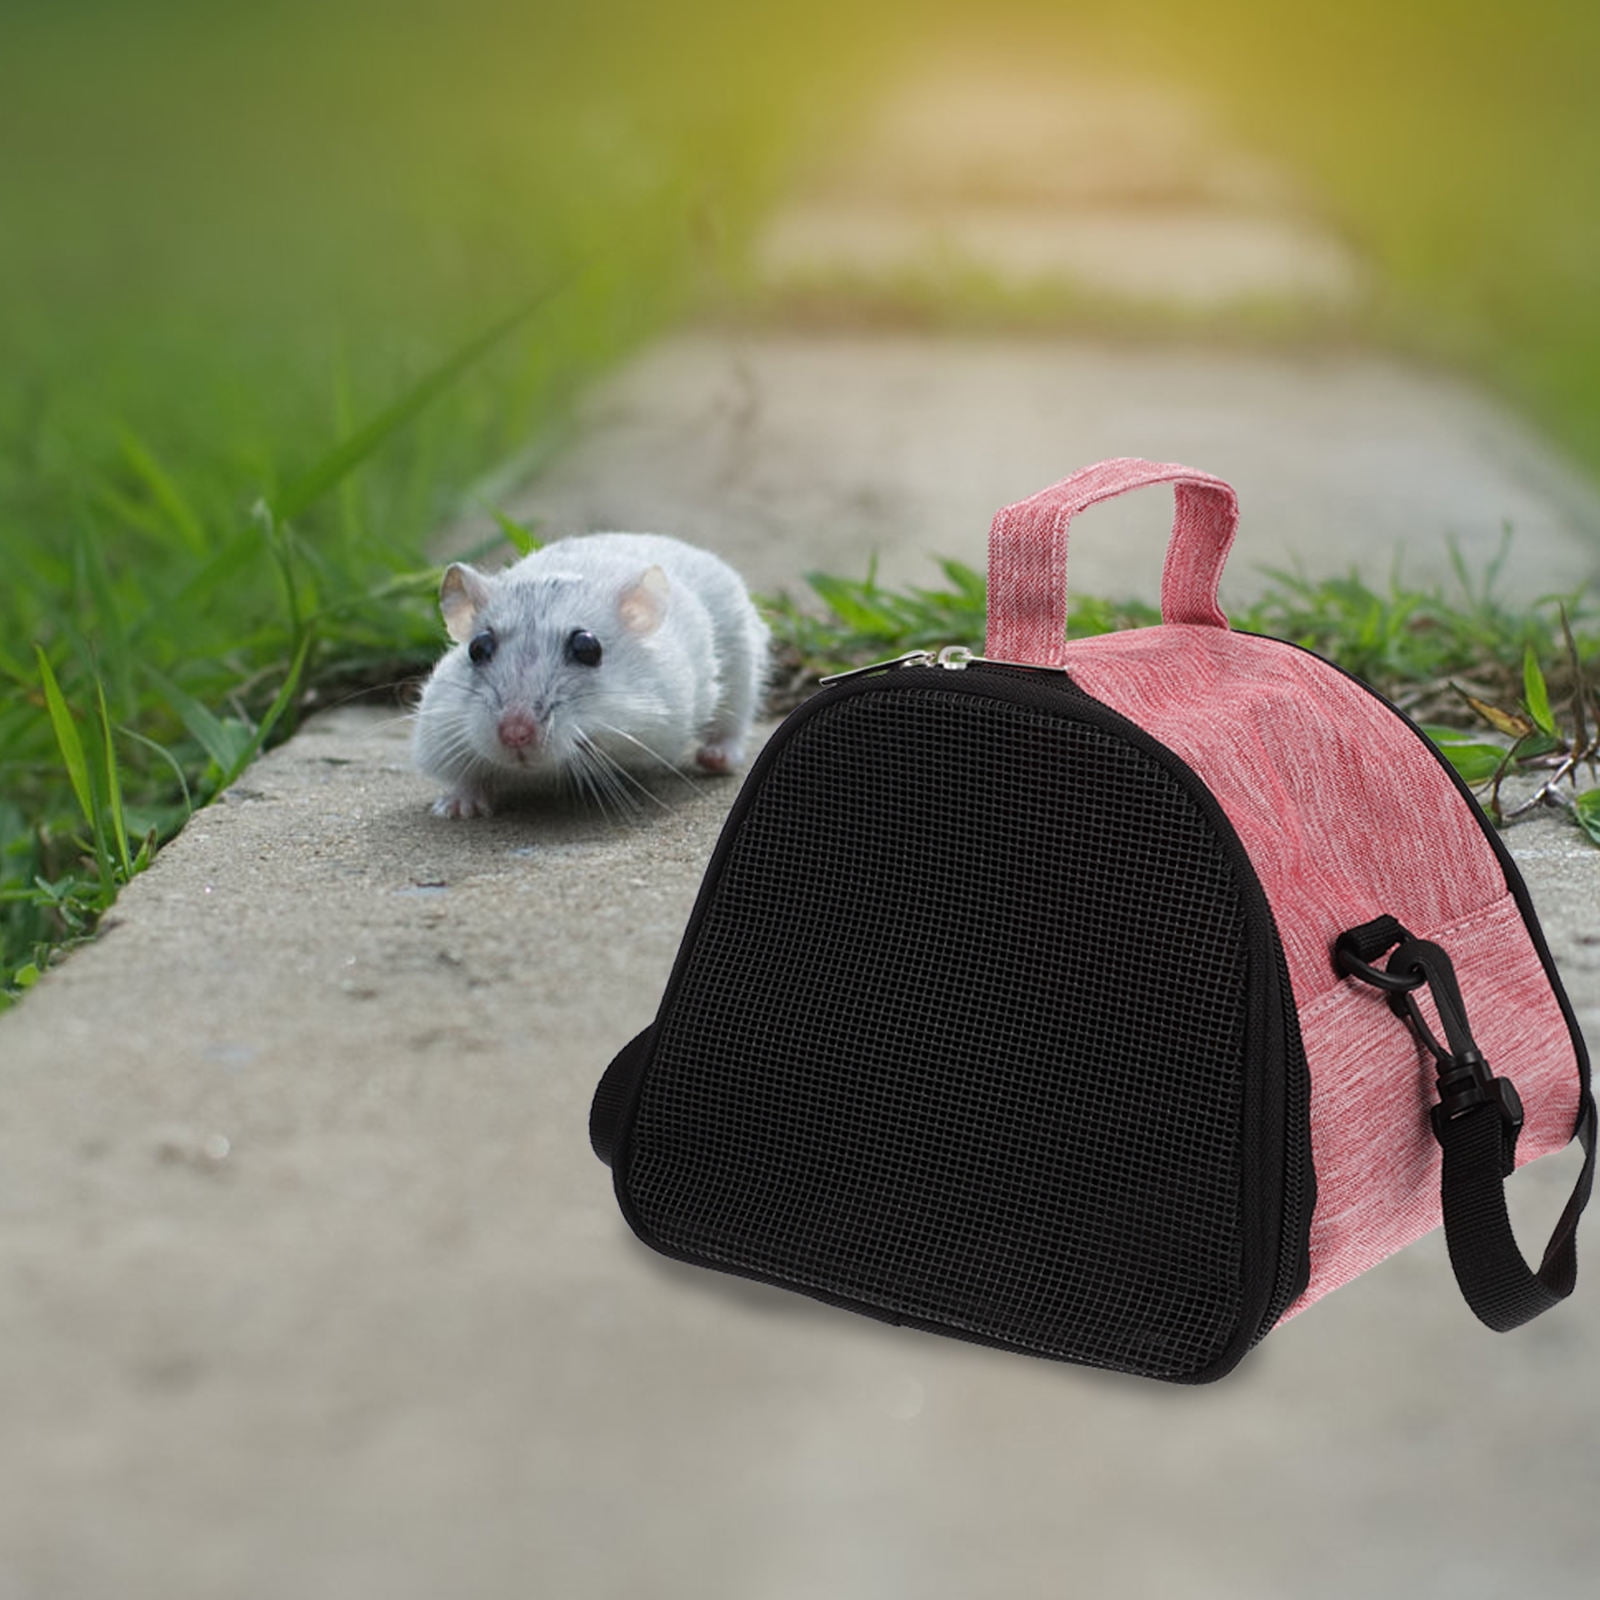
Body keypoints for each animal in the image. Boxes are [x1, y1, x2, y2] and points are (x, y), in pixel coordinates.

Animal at [412, 532, 770, 818]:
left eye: (587, 648)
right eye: (477, 648)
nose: (515, 735)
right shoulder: (441, 725)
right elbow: (465, 777)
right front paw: (456, 810)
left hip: (742, 670)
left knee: (733, 725)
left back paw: (715, 759)